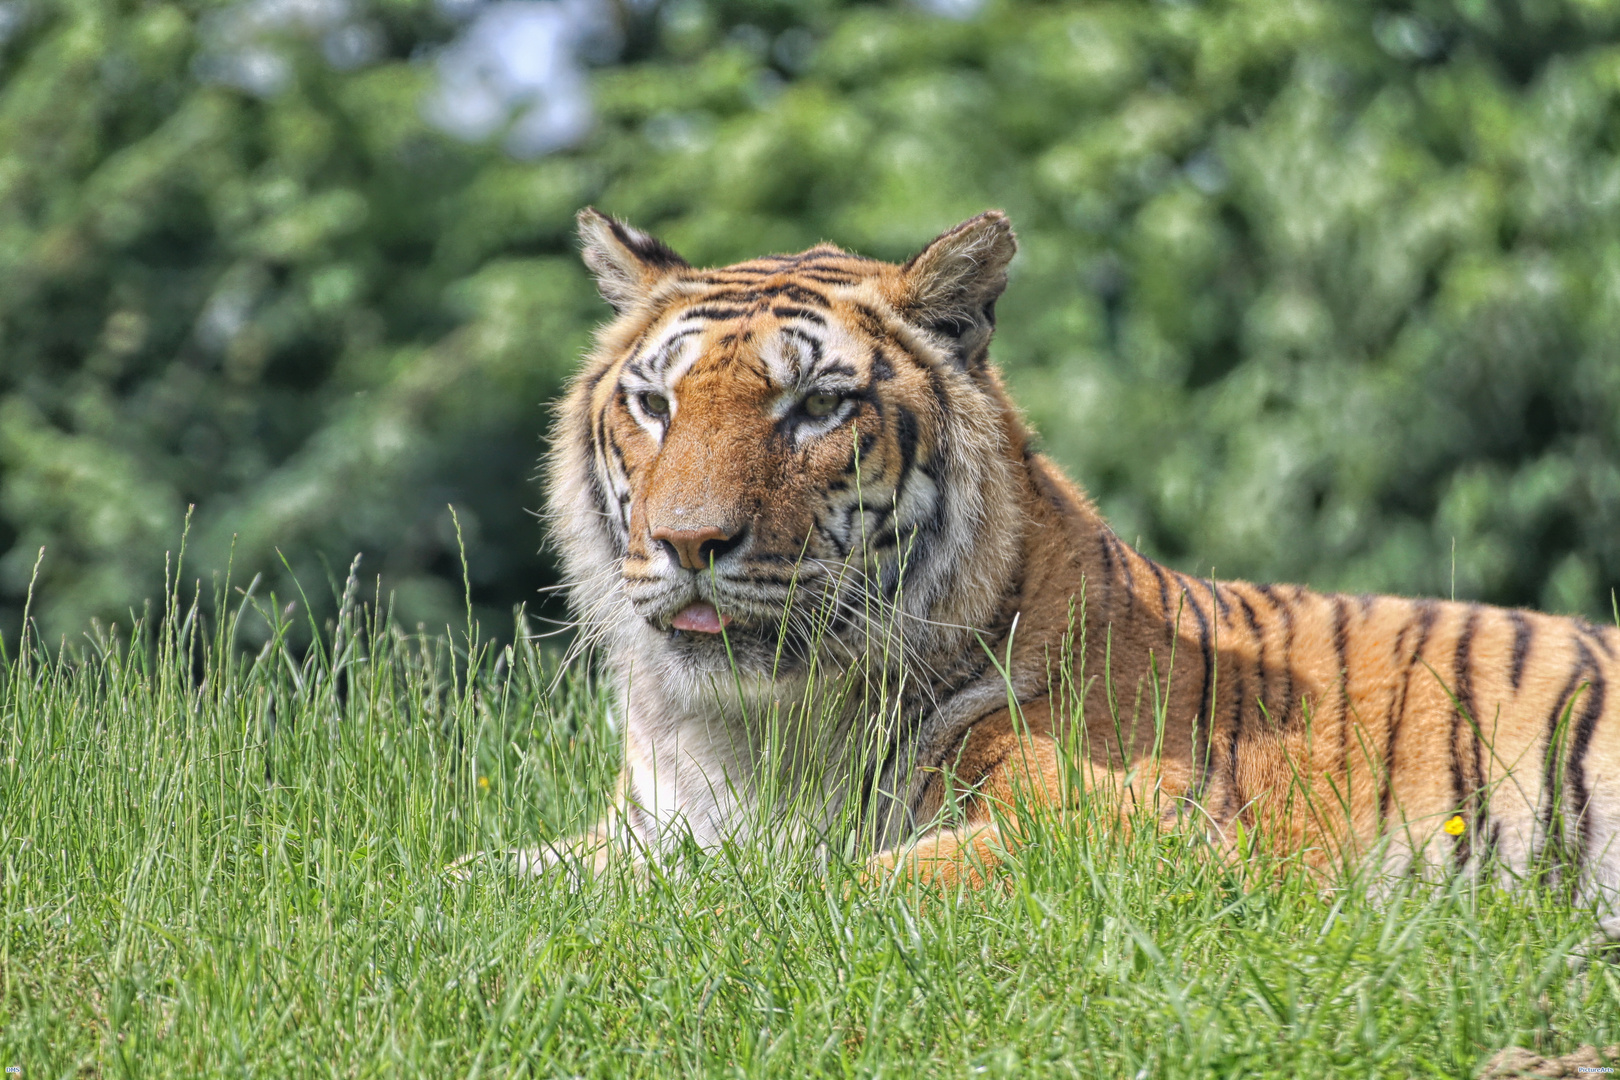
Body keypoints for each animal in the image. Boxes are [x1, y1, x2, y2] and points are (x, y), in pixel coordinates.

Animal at [482, 206, 1620, 930]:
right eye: (654, 404)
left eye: (816, 406)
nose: (687, 543)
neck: (746, 733)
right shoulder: (630, 827)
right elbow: (468, 878)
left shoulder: (1130, 828)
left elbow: (812, 890)